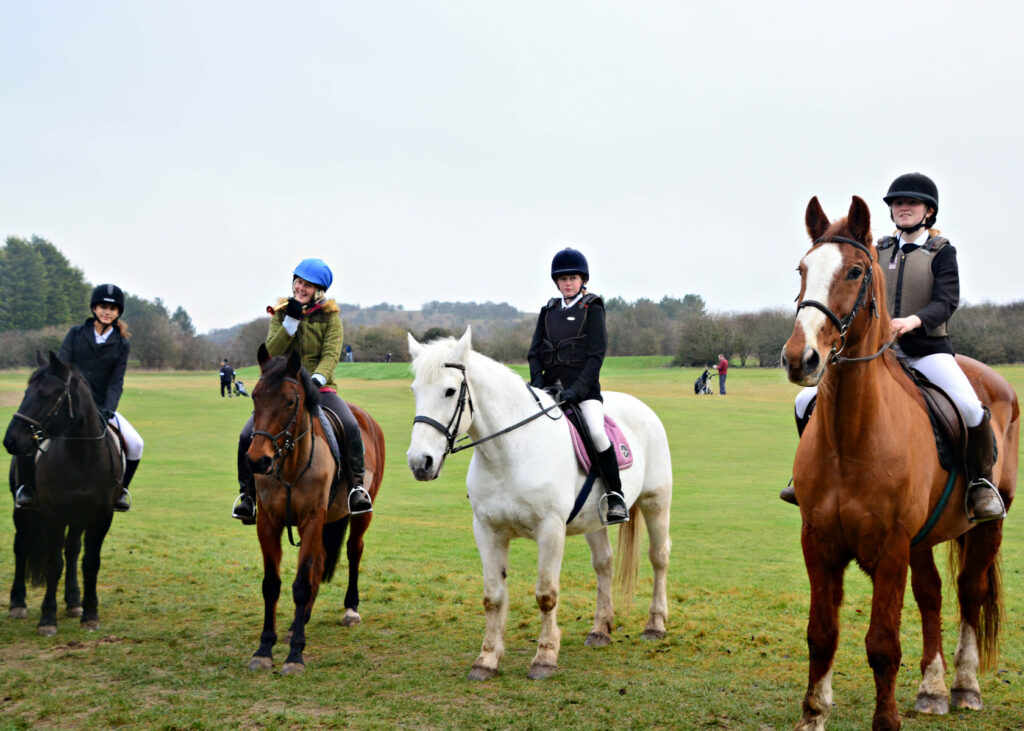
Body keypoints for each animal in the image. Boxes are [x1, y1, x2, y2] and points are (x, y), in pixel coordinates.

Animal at [3, 351, 125, 636]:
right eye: (26, 391)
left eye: (46, 394)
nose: (10, 440)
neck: (83, 457)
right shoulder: (53, 515)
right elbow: (52, 563)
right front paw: (47, 619)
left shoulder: (100, 516)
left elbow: (90, 561)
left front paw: (90, 613)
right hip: (22, 511)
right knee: (21, 547)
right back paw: (17, 603)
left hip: (78, 517)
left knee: (72, 551)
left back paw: (73, 602)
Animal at [244, 344, 385, 675]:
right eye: (255, 395)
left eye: (290, 400)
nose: (258, 460)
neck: (289, 464)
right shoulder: (268, 522)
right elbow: (272, 584)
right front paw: (264, 649)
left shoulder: (312, 519)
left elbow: (300, 584)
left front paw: (295, 655)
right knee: (320, 563)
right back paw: (300, 622)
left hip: (361, 513)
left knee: (353, 550)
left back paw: (350, 609)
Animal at [406, 327, 673, 680]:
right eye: (415, 390)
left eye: (450, 391)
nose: (419, 463)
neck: (508, 452)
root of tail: (641, 407)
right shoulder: (487, 531)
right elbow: (493, 596)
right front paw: (486, 660)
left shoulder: (550, 529)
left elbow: (546, 595)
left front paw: (545, 658)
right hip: (595, 520)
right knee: (604, 563)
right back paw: (600, 629)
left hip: (656, 502)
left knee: (659, 557)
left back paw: (655, 625)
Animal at [782, 196, 1019, 730]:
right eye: (803, 269)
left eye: (854, 271)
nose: (800, 359)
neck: (850, 437)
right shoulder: (817, 542)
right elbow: (822, 633)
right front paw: (813, 714)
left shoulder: (890, 547)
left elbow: (883, 645)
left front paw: (885, 720)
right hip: (923, 538)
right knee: (931, 594)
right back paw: (931, 689)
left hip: (987, 526)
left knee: (969, 591)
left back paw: (963, 686)